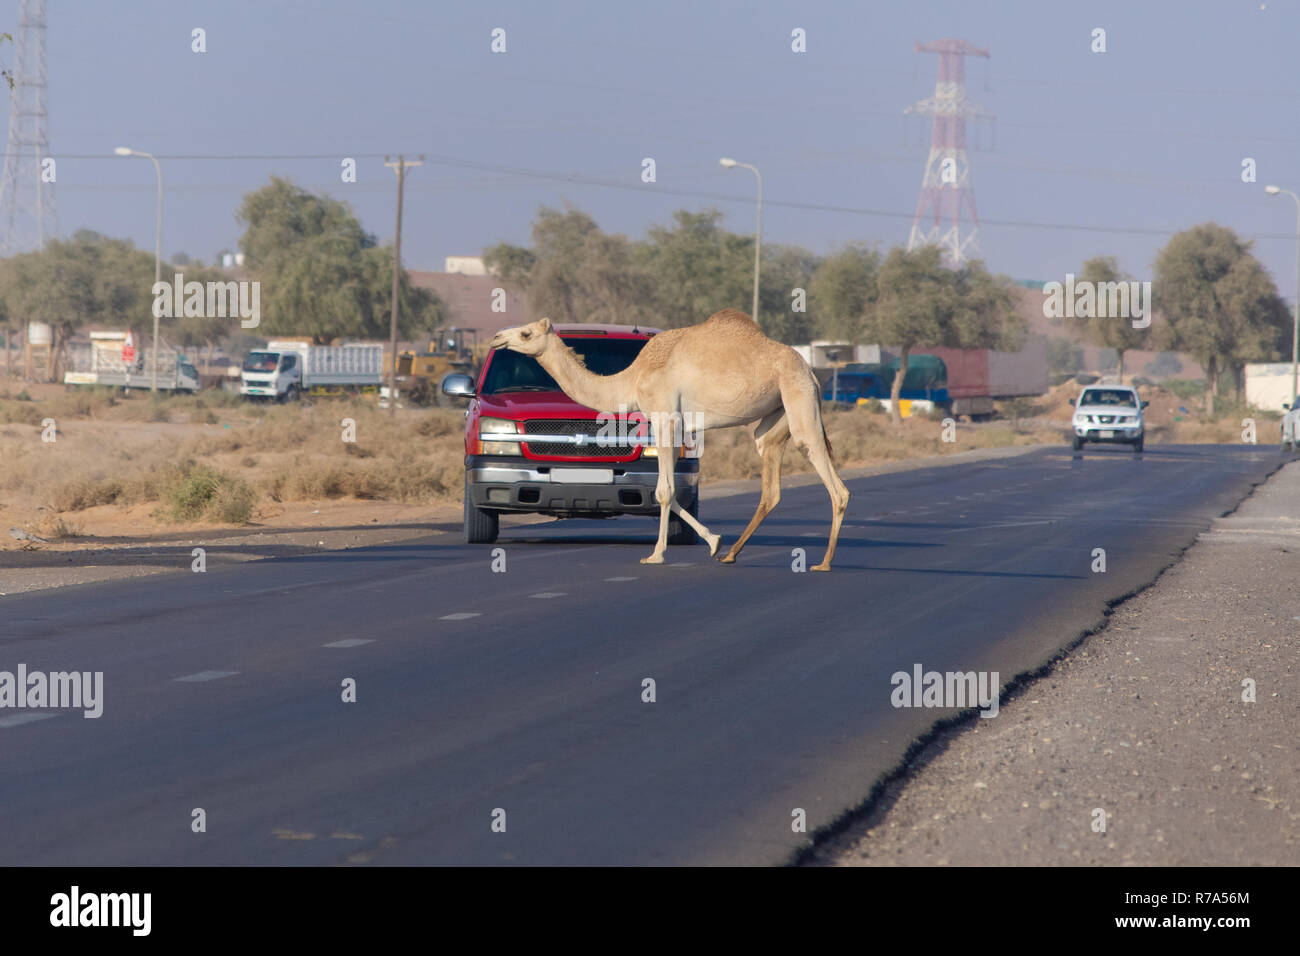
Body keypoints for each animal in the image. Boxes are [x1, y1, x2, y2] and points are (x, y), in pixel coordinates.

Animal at [488, 308, 850, 570]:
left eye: (526, 333)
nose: (496, 338)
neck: (631, 379)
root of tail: (811, 372)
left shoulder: (663, 417)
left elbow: (663, 492)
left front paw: (656, 554)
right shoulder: (678, 428)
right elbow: (670, 492)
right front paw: (714, 541)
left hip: (798, 396)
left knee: (829, 475)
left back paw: (824, 562)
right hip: (777, 413)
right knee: (769, 469)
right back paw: (731, 553)